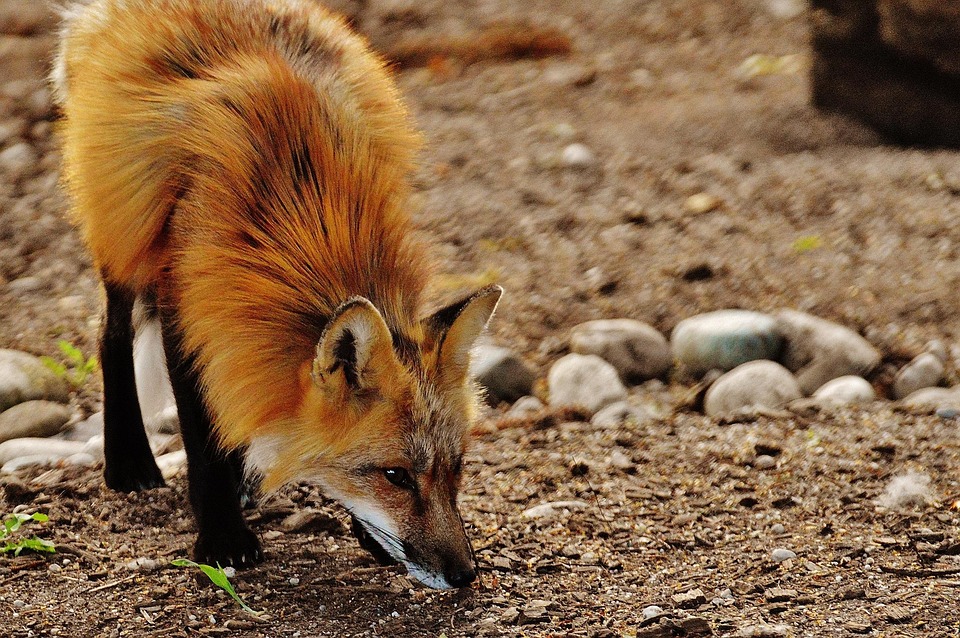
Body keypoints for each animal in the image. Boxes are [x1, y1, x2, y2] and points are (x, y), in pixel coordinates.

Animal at [52, 0, 501, 589]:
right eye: (395, 475)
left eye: (457, 467)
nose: (465, 574)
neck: (308, 210)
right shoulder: (189, 303)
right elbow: (204, 436)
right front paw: (223, 537)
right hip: (122, 229)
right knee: (109, 335)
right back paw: (129, 462)